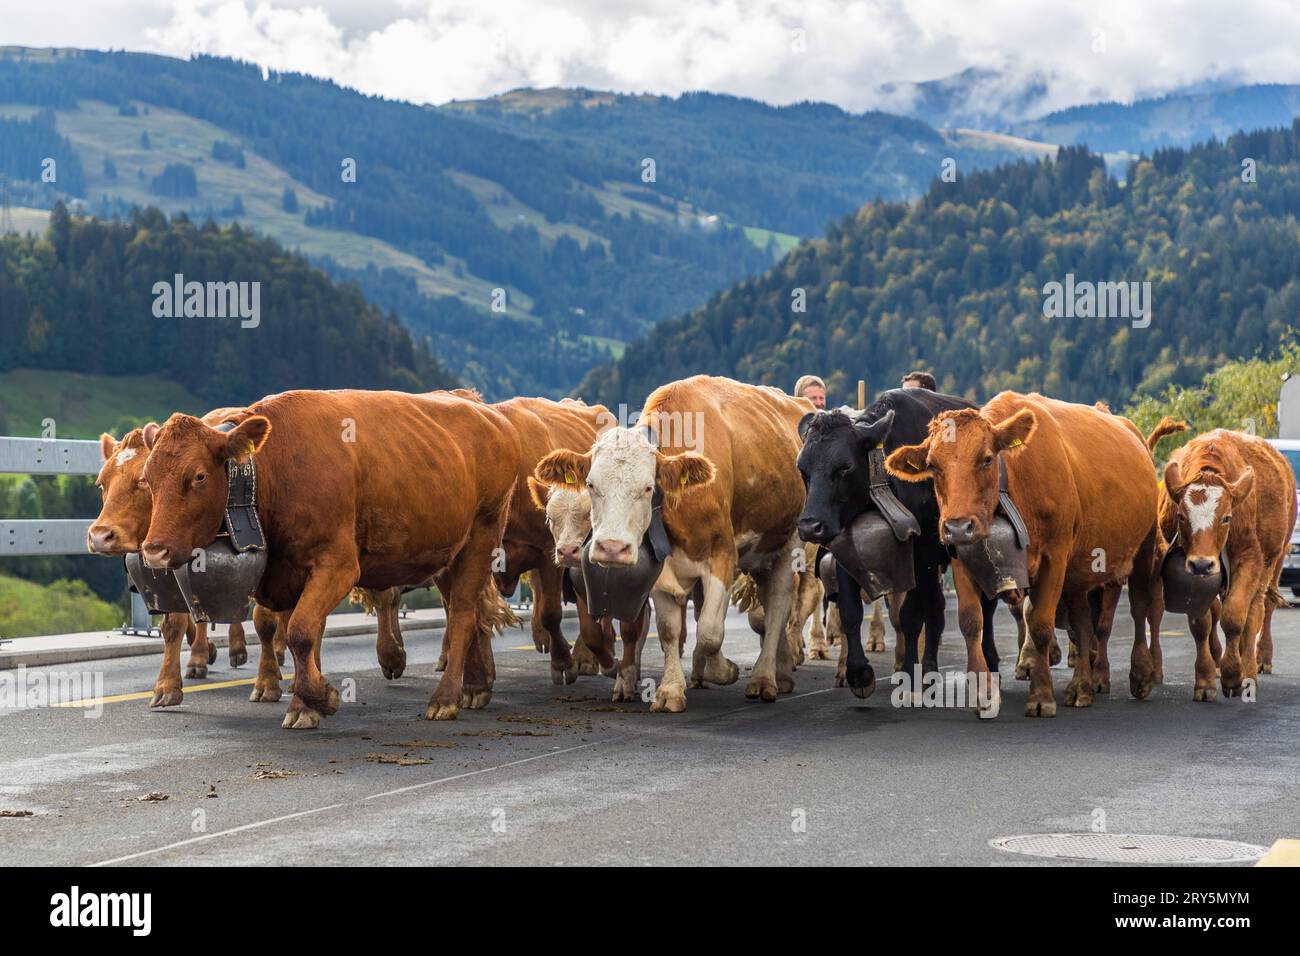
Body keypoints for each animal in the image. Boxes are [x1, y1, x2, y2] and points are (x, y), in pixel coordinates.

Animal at [138, 389, 521, 727]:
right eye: (147, 479)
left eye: (199, 476)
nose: (154, 550)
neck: (274, 467)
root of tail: (482, 408)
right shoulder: (288, 573)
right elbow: (303, 636)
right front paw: (304, 705)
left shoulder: (338, 565)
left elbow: (301, 632)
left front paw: (323, 697)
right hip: (446, 553)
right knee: (468, 612)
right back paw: (475, 685)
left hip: (480, 537)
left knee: (462, 614)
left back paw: (445, 698)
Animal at [535, 375, 811, 711]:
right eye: (590, 484)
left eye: (647, 487)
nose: (612, 548)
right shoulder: (660, 566)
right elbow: (669, 629)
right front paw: (670, 691)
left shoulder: (723, 554)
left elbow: (710, 631)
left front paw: (723, 670)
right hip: (760, 555)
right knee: (768, 603)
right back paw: (779, 672)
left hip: (789, 545)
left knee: (778, 607)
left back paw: (765, 677)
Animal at [796, 389, 994, 702]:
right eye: (802, 468)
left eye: (845, 466)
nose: (810, 525)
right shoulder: (844, 550)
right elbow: (850, 612)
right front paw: (858, 673)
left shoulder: (922, 553)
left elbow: (910, 615)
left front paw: (910, 675)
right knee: (937, 608)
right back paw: (930, 671)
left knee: (981, 605)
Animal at [887, 392, 1160, 717]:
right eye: (933, 466)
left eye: (987, 459)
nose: (957, 527)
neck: (1013, 481)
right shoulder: (961, 558)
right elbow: (971, 622)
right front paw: (983, 694)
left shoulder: (1055, 558)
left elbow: (1041, 625)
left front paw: (1041, 695)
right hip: (1080, 569)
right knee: (1082, 623)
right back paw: (1081, 685)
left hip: (1144, 548)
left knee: (1139, 608)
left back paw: (1141, 674)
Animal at [1157, 428, 1297, 700]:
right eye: (1181, 516)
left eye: (1226, 518)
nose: (1202, 565)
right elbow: (1202, 622)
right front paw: (1206, 678)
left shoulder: (1249, 557)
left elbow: (1234, 618)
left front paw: (1233, 675)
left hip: (1273, 561)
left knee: (1258, 612)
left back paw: (1253, 666)